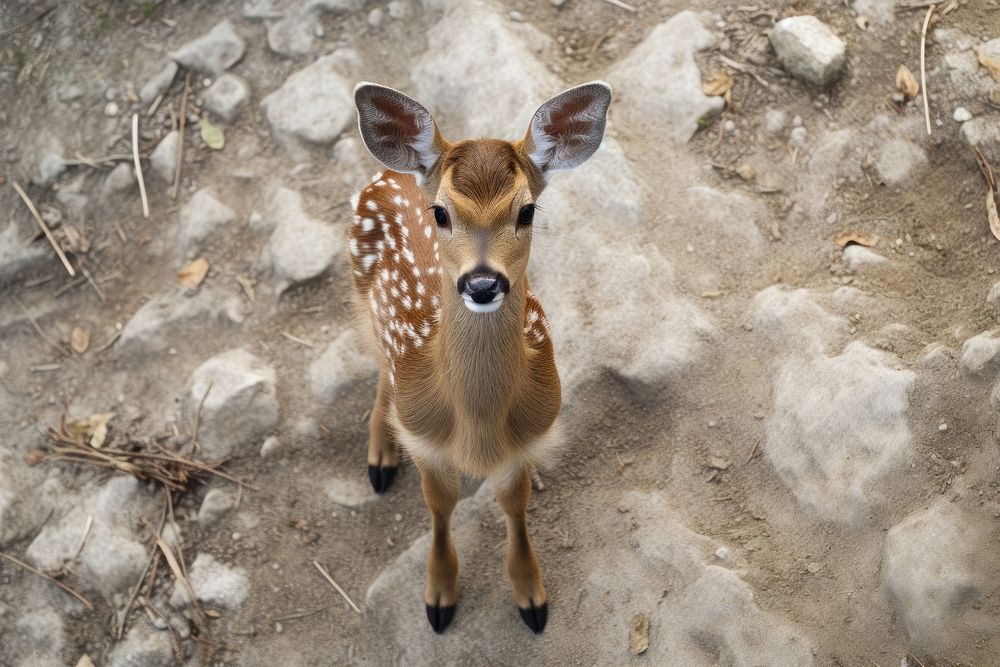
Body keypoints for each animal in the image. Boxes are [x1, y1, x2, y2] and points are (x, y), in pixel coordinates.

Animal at [349, 81, 611, 634]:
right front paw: (439, 596)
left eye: (527, 211)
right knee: (381, 367)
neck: (479, 428)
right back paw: (380, 457)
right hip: (359, 293)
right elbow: (439, 504)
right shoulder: (425, 440)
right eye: (441, 212)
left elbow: (514, 503)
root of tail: (393, 171)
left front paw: (531, 596)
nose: (483, 282)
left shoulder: (529, 436)